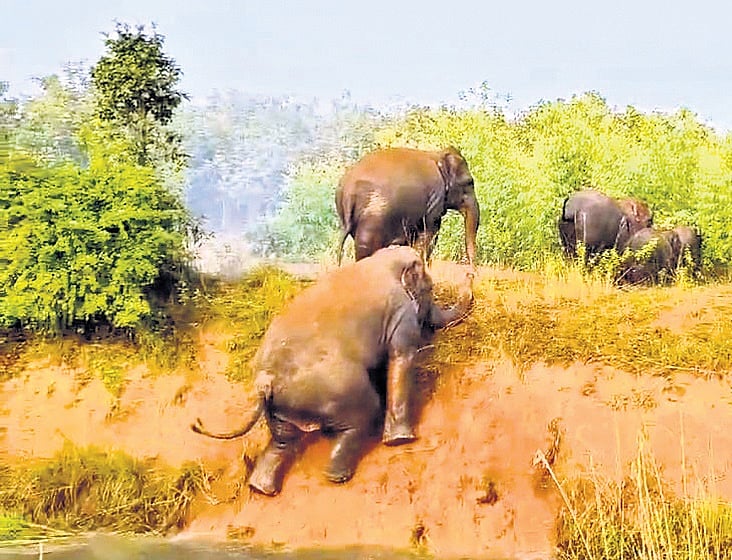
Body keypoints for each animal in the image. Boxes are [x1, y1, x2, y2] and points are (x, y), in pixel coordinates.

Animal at [191, 246, 474, 496]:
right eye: (430, 289)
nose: (470, 276)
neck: (384, 261)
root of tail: (266, 380)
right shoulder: (399, 312)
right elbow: (401, 356)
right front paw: (401, 440)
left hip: (280, 407)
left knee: (283, 439)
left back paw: (261, 488)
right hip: (338, 388)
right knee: (361, 416)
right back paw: (338, 477)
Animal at [335, 147, 480, 267]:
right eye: (469, 182)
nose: (472, 272)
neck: (437, 155)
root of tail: (349, 191)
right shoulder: (434, 200)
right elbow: (430, 233)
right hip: (374, 219)